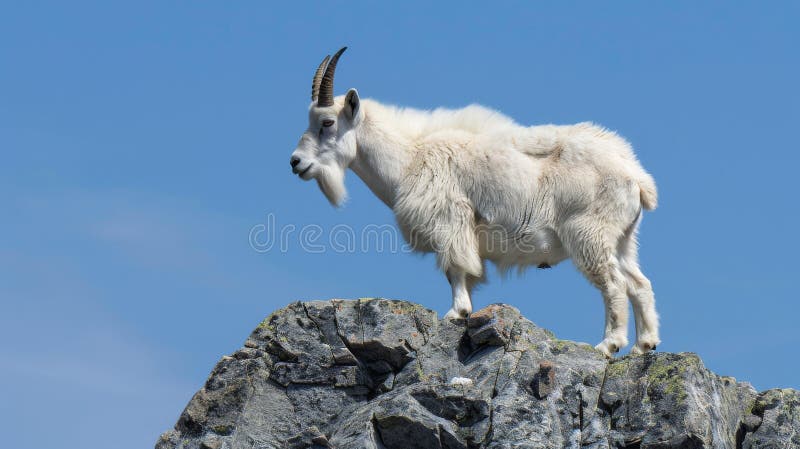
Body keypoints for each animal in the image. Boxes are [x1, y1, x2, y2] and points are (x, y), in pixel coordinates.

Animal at [289, 47, 660, 357]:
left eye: (327, 122)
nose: (296, 162)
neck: (409, 157)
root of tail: (636, 177)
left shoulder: (449, 220)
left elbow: (455, 269)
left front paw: (457, 312)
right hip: (623, 239)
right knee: (639, 283)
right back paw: (644, 345)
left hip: (589, 234)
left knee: (614, 284)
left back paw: (608, 344)